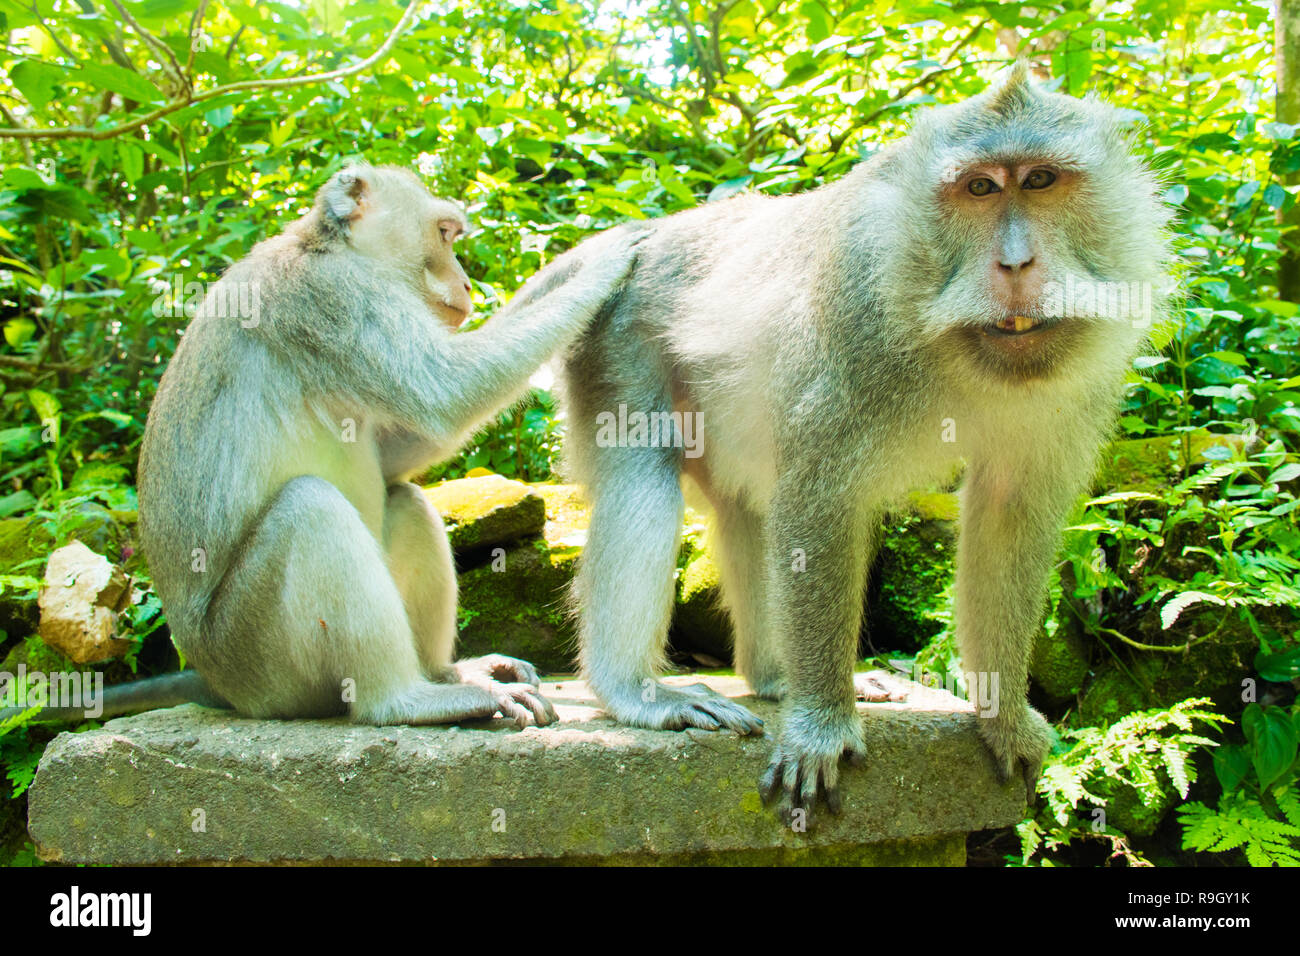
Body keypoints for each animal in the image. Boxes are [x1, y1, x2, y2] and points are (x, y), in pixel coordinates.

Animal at [0, 164, 639, 729]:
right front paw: (602, 261)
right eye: (443, 233)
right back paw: (407, 699)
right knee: (309, 510)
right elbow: (442, 392)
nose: (464, 284)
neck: (327, 249)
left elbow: (395, 447)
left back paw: (446, 672)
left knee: (402, 497)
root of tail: (216, 680)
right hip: (262, 660)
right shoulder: (334, 302)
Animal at [557, 63, 1173, 820]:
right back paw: (636, 694)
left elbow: (1008, 514)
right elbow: (820, 500)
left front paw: (1001, 715)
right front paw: (822, 725)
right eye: (979, 189)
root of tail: (642, 237)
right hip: (617, 337)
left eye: (1039, 181)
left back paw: (771, 676)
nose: (1016, 263)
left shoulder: (1077, 384)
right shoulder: (855, 310)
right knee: (643, 477)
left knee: (748, 508)